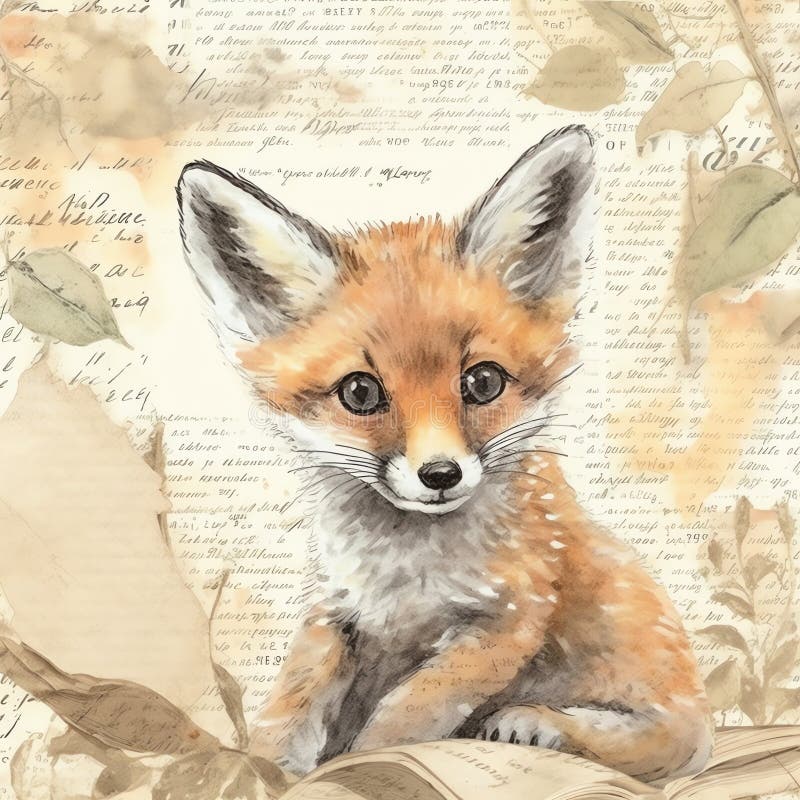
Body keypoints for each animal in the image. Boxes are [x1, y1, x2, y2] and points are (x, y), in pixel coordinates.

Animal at [177, 126, 713, 783]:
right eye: (360, 392)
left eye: (482, 382)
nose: (439, 474)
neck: (406, 573)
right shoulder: (335, 614)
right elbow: (289, 706)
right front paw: (262, 768)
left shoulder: (509, 620)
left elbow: (403, 716)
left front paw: (361, 769)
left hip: (662, 706)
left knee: (659, 743)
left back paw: (536, 724)